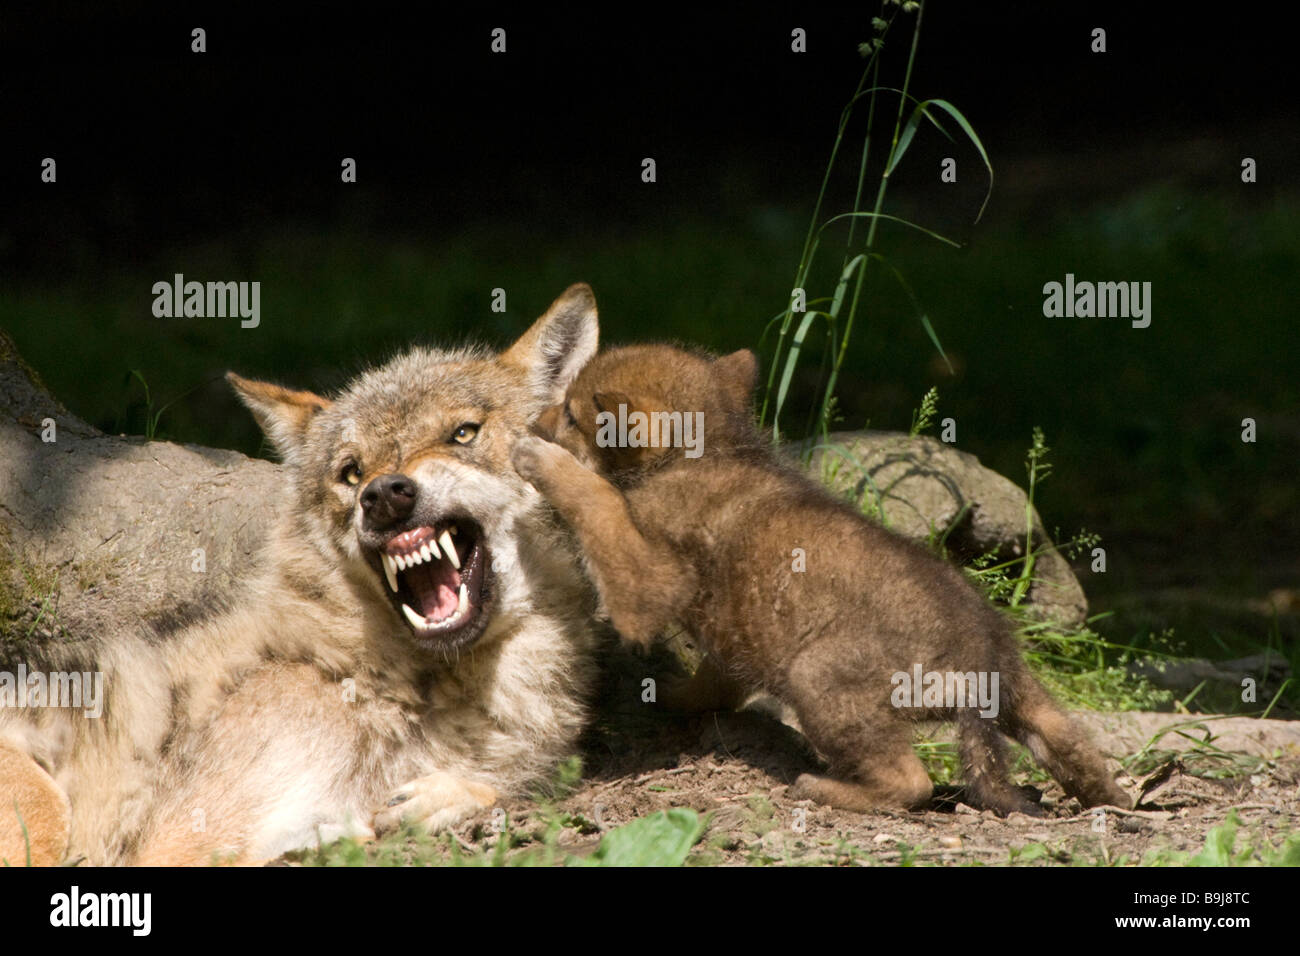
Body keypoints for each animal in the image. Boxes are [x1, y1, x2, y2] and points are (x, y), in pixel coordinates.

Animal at [0, 284, 602, 865]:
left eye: (463, 433)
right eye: (351, 472)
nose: (383, 495)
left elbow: (483, 791)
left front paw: (430, 799)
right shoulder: (177, 844)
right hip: (49, 812)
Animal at [511, 341, 1131, 816]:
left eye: (571, 415)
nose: (531, 421)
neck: (709, 451)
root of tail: (982, 655)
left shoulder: (647, 585)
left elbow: (596, 501)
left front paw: (539, 458)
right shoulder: (735, 634)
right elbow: (715, 683)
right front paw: (674, 697)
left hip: (820, 678)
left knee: (911, 782)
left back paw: (820, 786)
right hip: (1032, 699)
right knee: (1074, 746)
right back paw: (1118, 802)